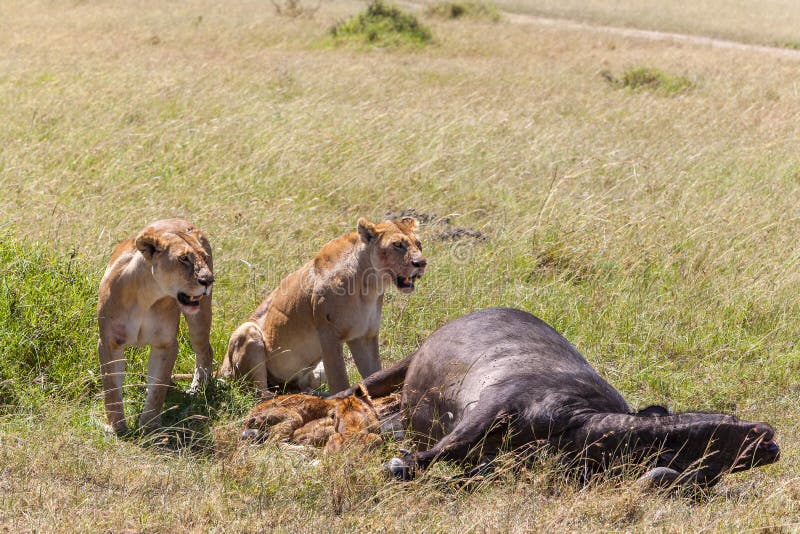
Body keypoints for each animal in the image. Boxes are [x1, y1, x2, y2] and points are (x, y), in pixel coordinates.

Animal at [97, 218, 214, 434]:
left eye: (203, 257)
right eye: (184, 259)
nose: (208, 280)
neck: (147, 295)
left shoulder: (165, 344)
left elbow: (158, 387)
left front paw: (150, 427)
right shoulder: (109, 342)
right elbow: (111, 386)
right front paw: (116, 427)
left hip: (199, 319)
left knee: (205, 350)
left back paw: (196, 389)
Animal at [220, 216, 426, 395]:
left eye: (419, 244)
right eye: (397, 245)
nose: (421, 263)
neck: (370, 286)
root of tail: (221, 369)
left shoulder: (364, 336)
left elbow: (374, 372)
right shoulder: (329, 335)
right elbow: (340, 380)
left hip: (317, 371)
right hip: (247, 332)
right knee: (259, 394)